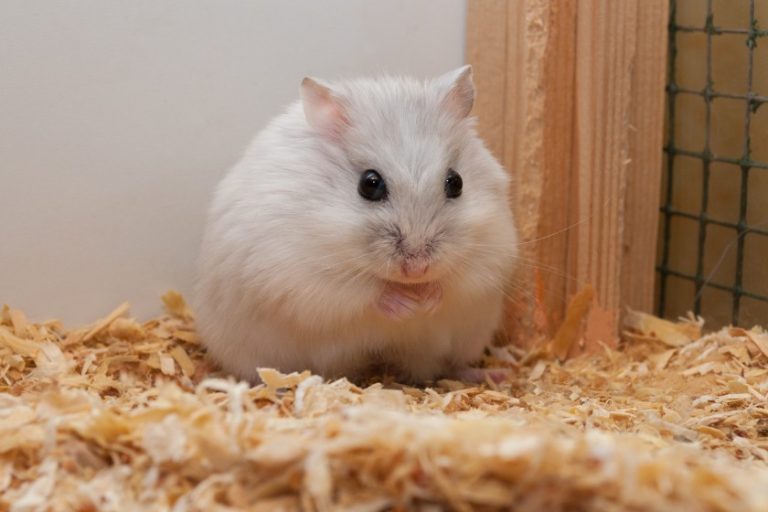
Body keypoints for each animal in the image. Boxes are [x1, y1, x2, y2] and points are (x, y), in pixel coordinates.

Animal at [193, 66, 519, 383]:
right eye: (370, 184)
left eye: (456, 182)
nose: (417, 269)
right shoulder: (296, 275)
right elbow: (362, 293)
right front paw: (406, 303)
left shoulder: (492, 253)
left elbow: (455, 283)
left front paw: (426, 298)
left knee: (448, 367)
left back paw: (496, 375)